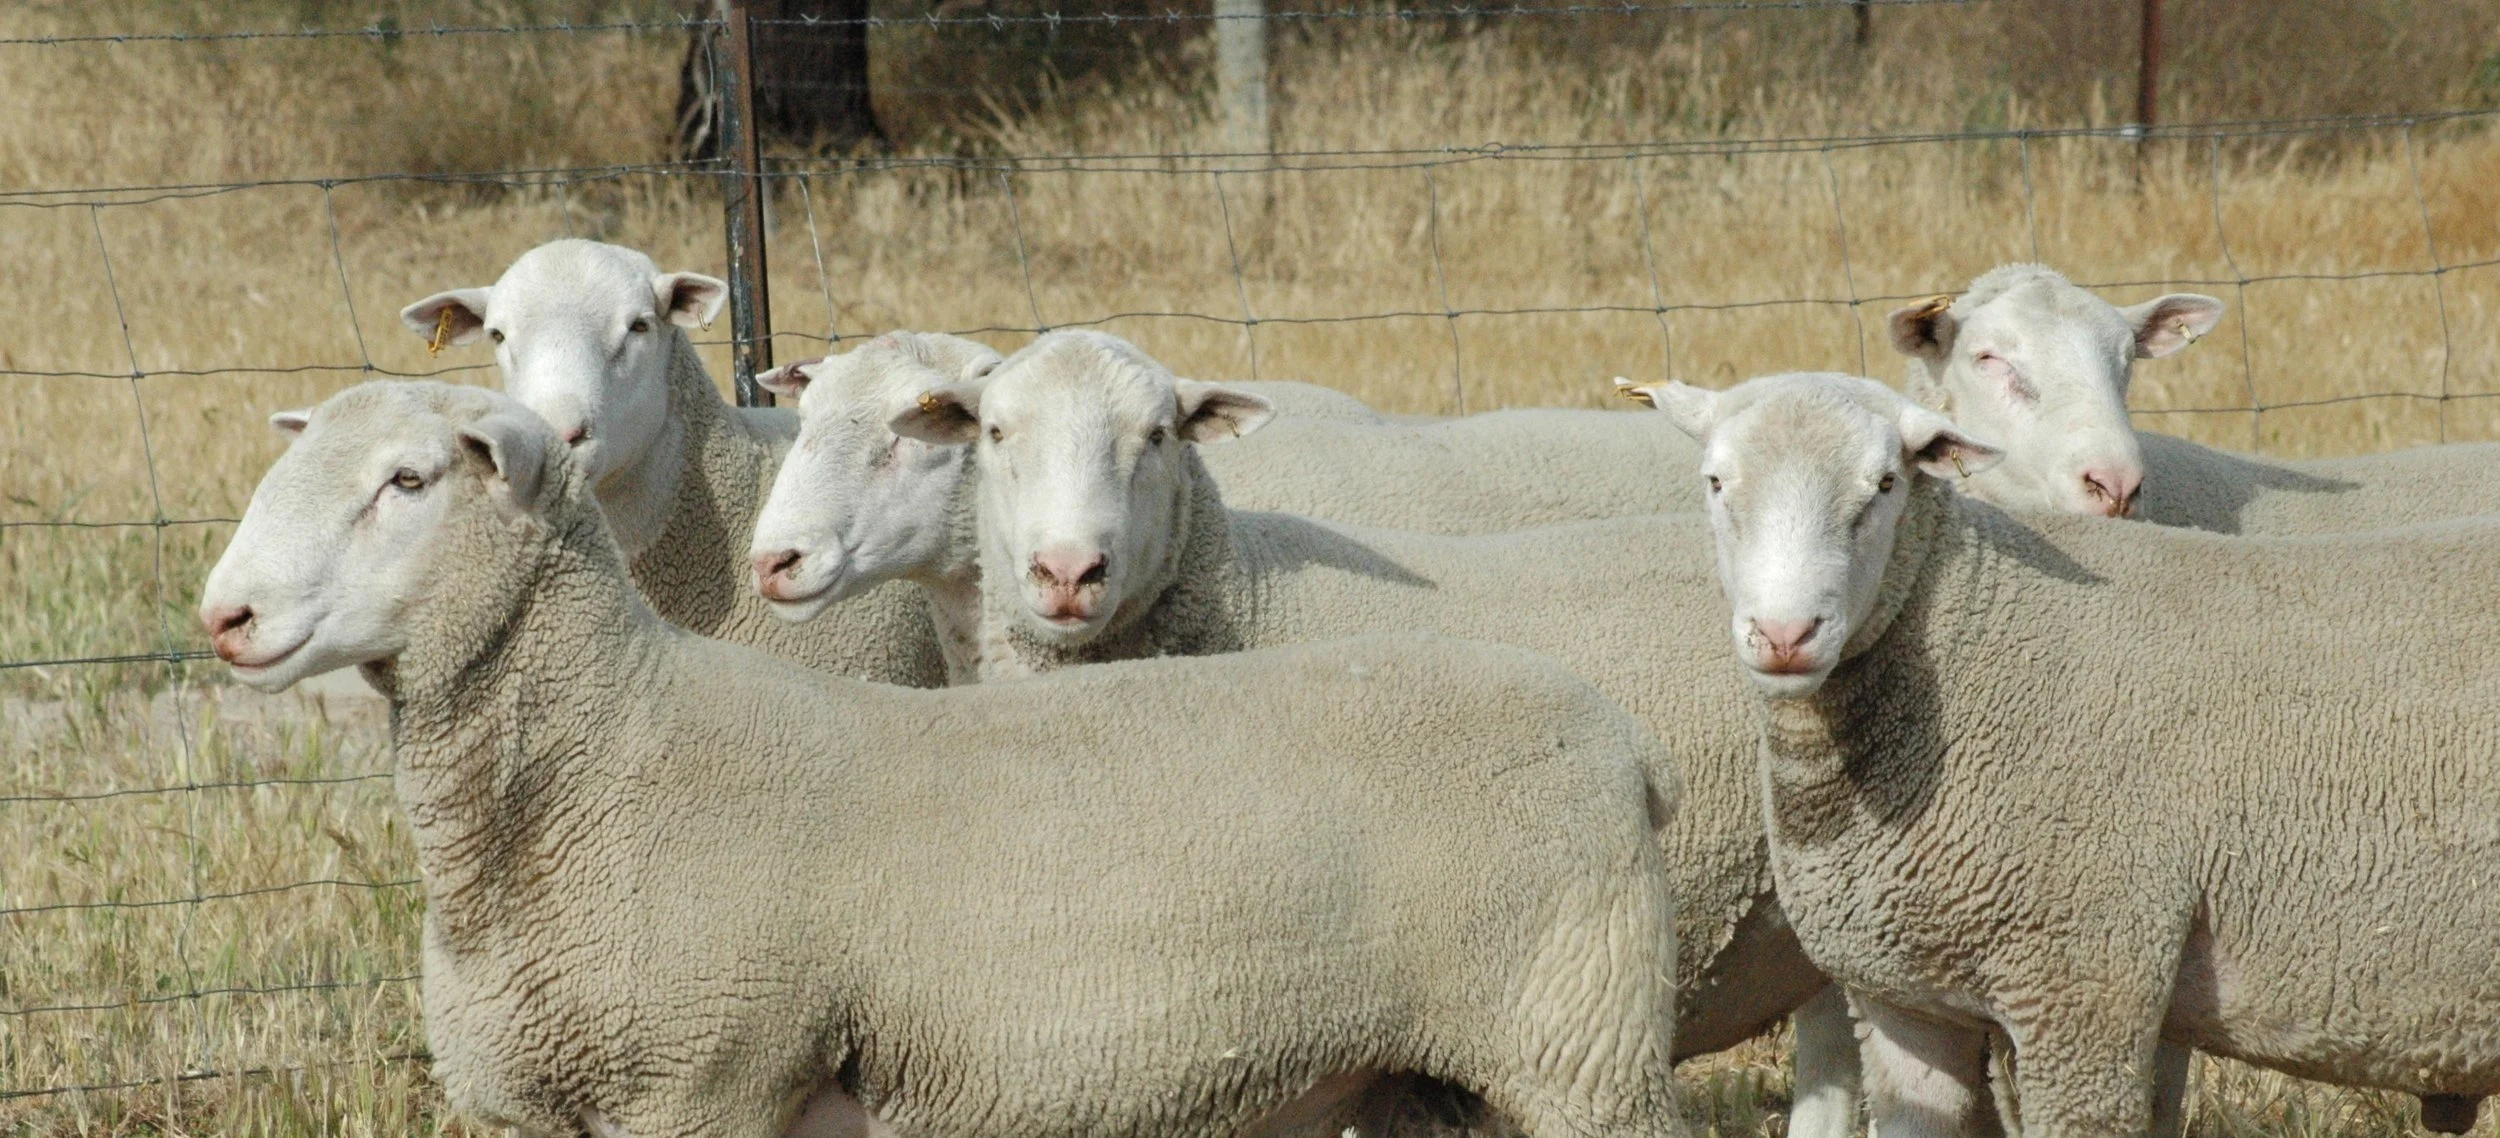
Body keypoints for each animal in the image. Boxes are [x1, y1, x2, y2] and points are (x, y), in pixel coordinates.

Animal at [196, 379, 1689, 1138]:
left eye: (408, 481)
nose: (227, 615)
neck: (603, 759)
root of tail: (1619, 742)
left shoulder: (705, 1076)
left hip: (1580, 1044)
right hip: (1426, 1078)